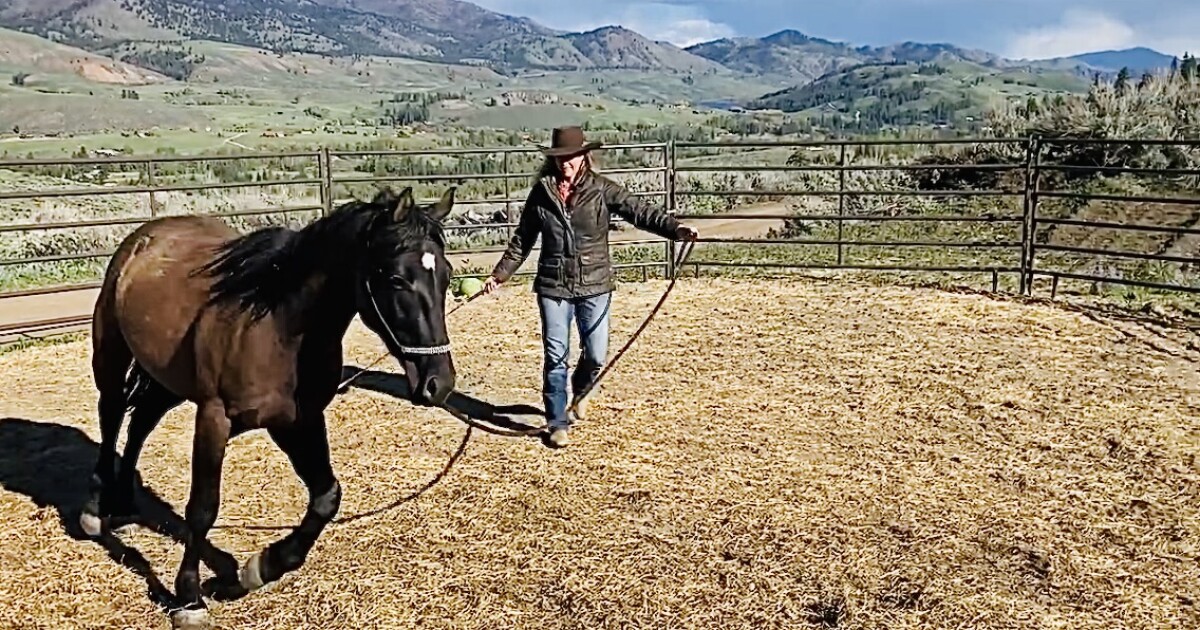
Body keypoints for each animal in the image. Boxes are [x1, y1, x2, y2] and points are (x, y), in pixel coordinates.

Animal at [80, 185, 458, 629]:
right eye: (397, 278)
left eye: (446, 276)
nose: (438, 384)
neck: (275, 326)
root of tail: (144, 238)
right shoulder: (214, 418)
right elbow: (202, 508)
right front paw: (189, 598)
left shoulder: (298, 421)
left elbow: (327, 497)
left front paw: (255, 571)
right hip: (111, 354)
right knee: (111, 416)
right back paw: (96, 511)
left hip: (167, 378)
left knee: (141, 421)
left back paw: (124, 503)